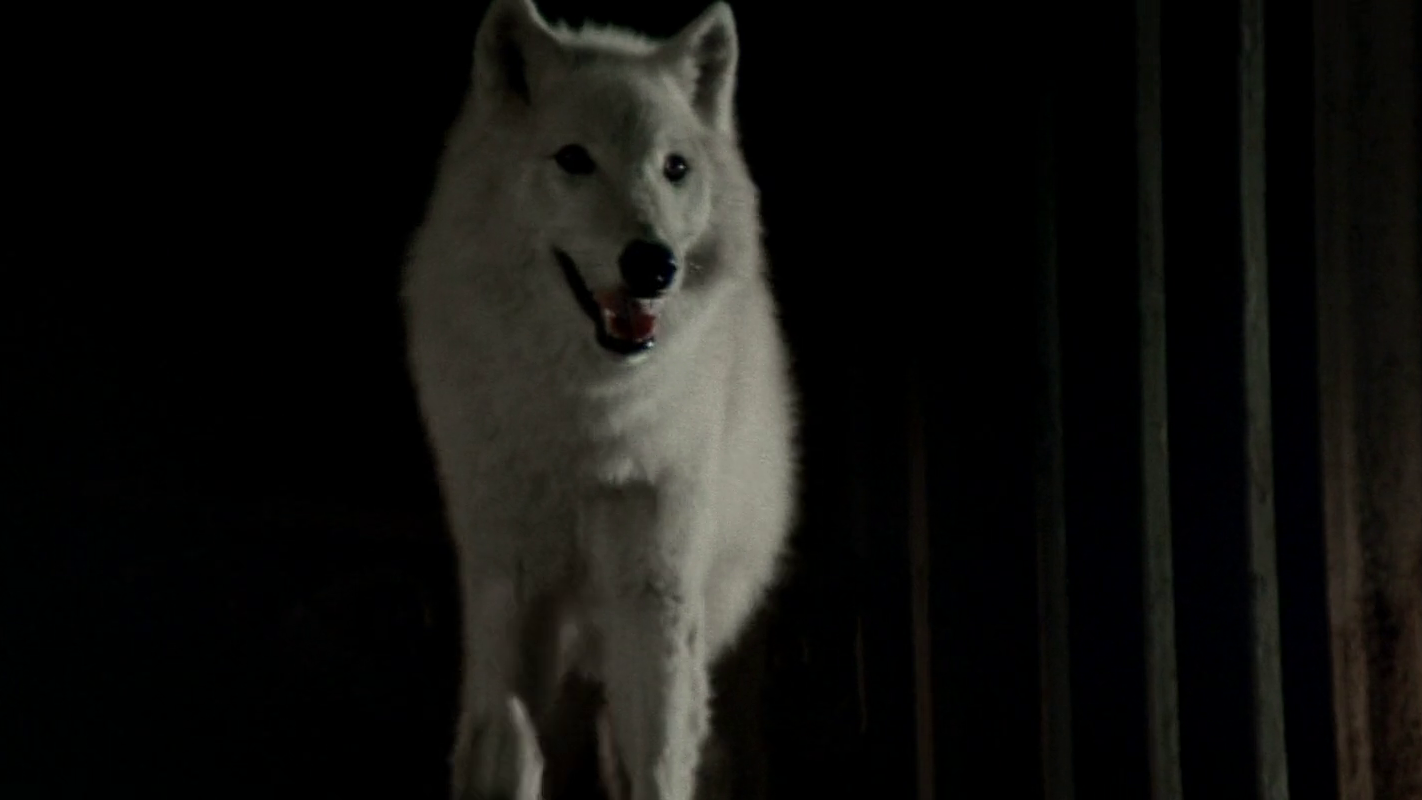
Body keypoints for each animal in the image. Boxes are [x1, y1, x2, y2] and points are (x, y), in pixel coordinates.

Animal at [400, 0, 798, 798]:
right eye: (574, 159)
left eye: (674, 168)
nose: (652, 264)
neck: (587, 420)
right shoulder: (512, 589)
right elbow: (507, 749)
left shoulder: (654, 594)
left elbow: (659, 763)